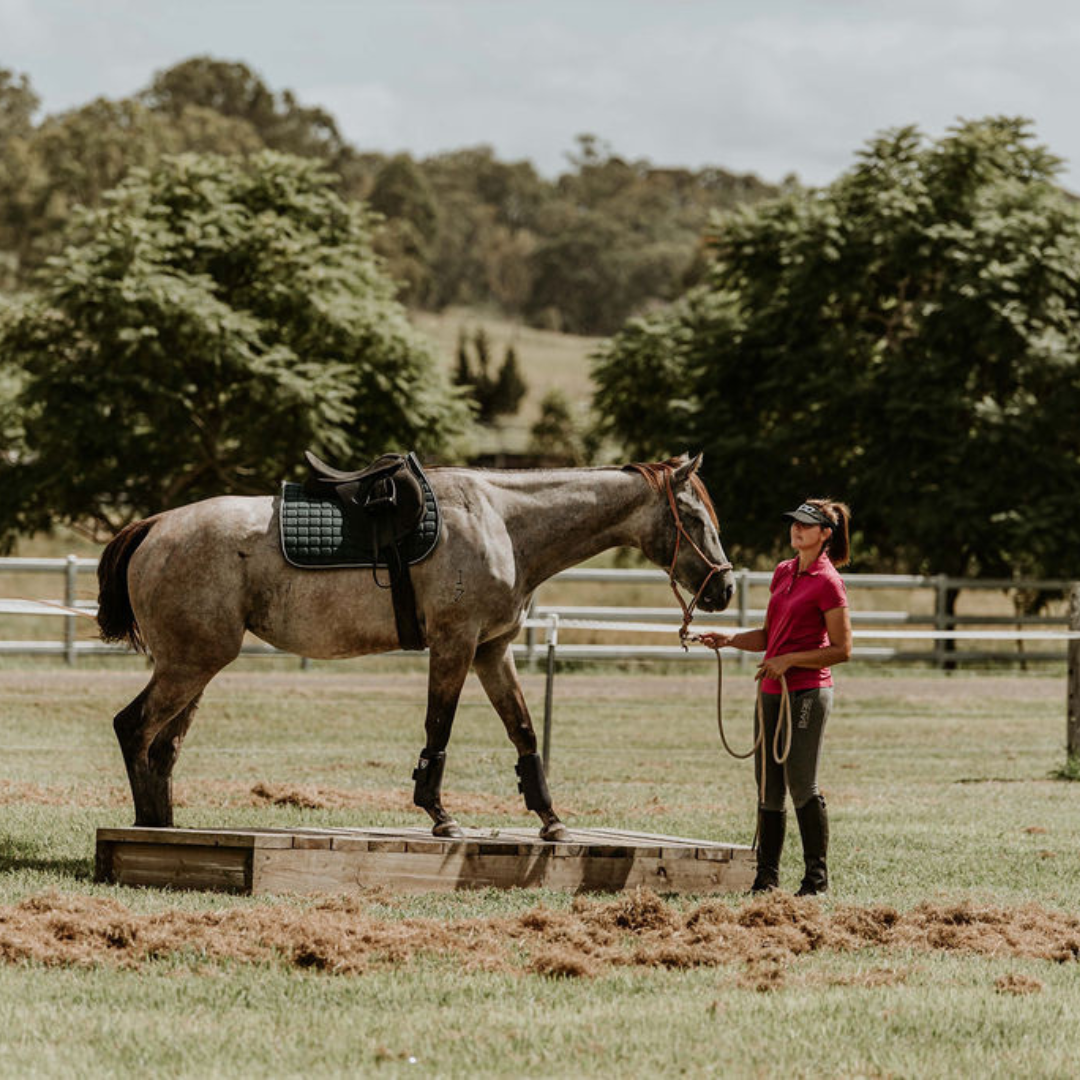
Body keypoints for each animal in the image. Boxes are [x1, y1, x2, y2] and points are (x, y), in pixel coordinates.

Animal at [95, 453, 735, 841]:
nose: (725, 588)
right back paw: (146, 827)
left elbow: (524, 732)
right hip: (191, 665)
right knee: (133, 728)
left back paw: (162, 828)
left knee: (163, 746)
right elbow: (439, 728)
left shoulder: (493, 650)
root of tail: (153, 526)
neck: (504, 522)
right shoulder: (455, 644)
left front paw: (550, 819)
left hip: (197, 669)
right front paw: (439, 815)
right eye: (694, 518)